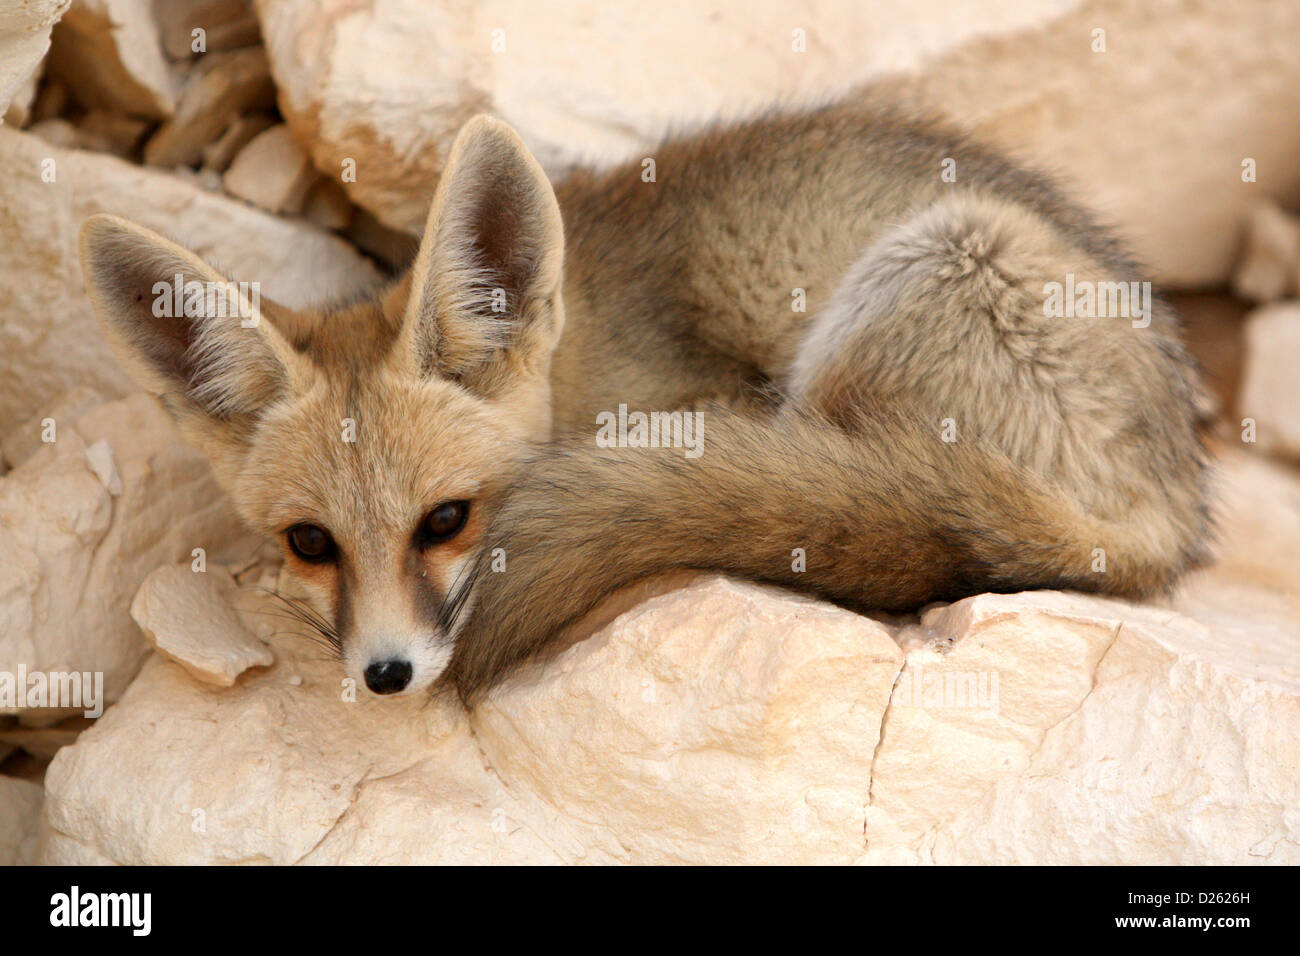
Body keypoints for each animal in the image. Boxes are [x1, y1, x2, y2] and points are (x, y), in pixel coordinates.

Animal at [79, 96, 1211, 704]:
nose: (387, 674)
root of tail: (1176, 508)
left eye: (447, 520)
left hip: (926, 270)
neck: (582, 364)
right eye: (311, 543)